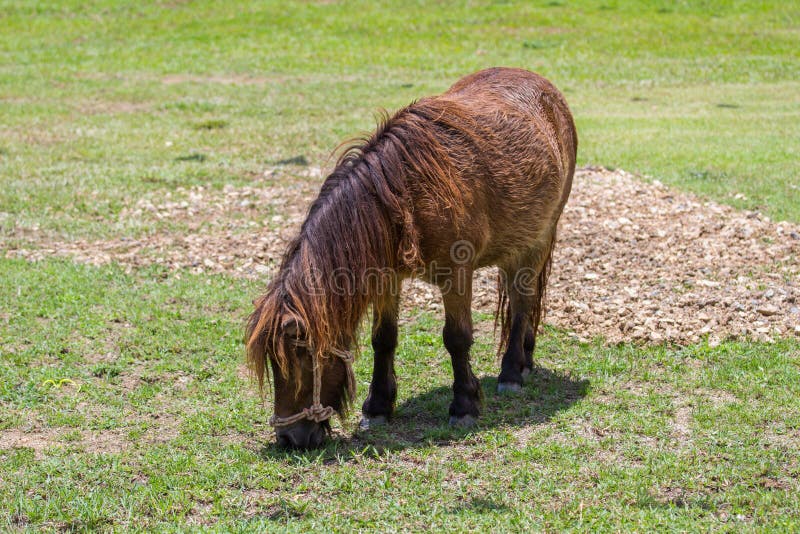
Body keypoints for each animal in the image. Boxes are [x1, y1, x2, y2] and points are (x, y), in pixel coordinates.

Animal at [246, 67, 577, 449]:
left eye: (301, 356)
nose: (289, 437)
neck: (404, 196)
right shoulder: (387, 277)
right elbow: (383, 339)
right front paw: (377, 406)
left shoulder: (456, 274)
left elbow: (457, 338)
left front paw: (464, 405)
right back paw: (525, 360)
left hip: (535, 241)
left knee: (522, 303)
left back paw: (511, 373)